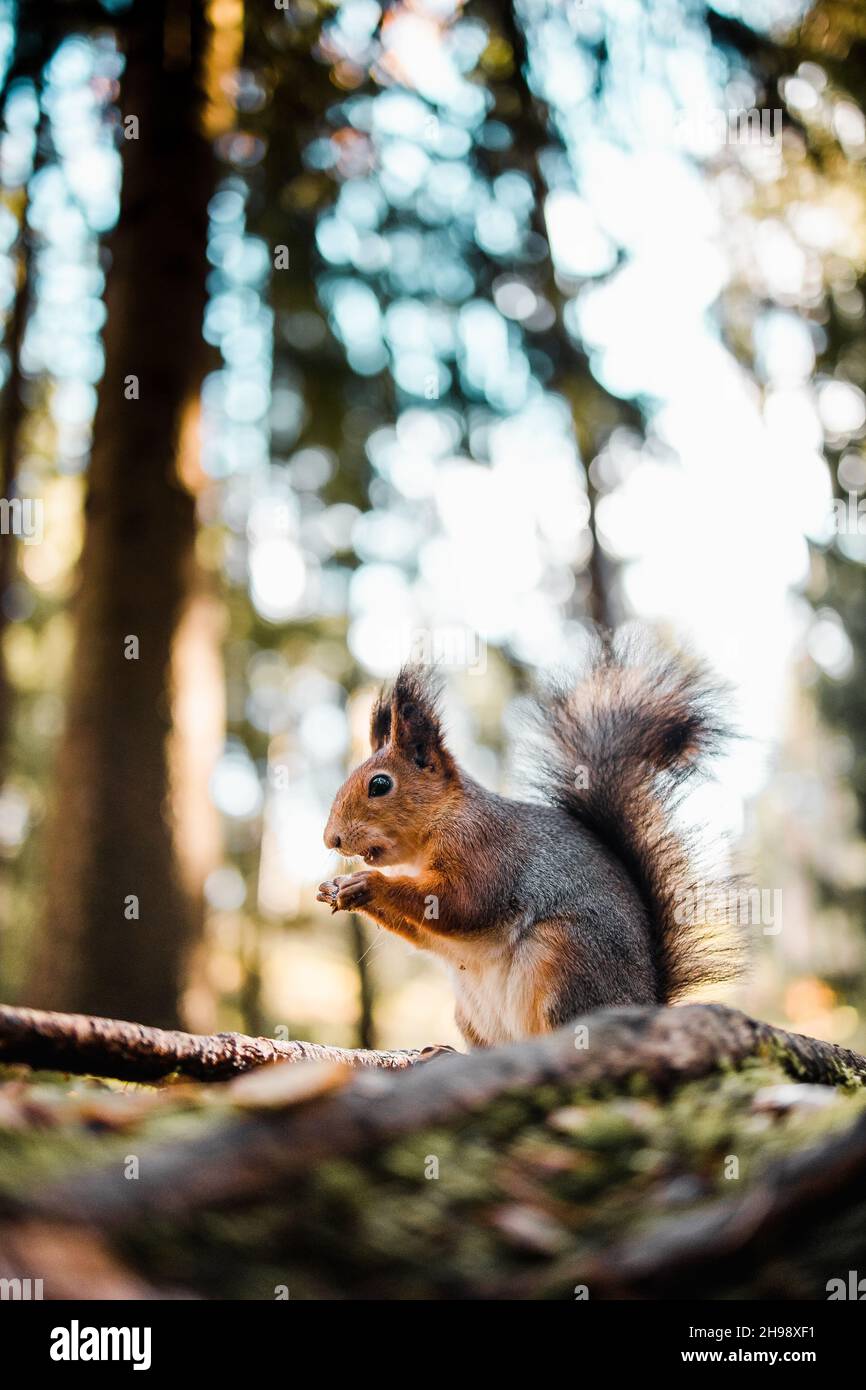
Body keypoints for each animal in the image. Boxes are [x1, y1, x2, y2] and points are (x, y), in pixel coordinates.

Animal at [318, 632, 742, 1049]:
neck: (436, 827)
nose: (331, 839)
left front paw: (369, 884)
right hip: (471, 1014)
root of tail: (647, 1006)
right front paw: (337, 888)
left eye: (380, 785)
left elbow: (461, 903)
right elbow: (423, 931)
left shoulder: (483, 847)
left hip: (563, 961)